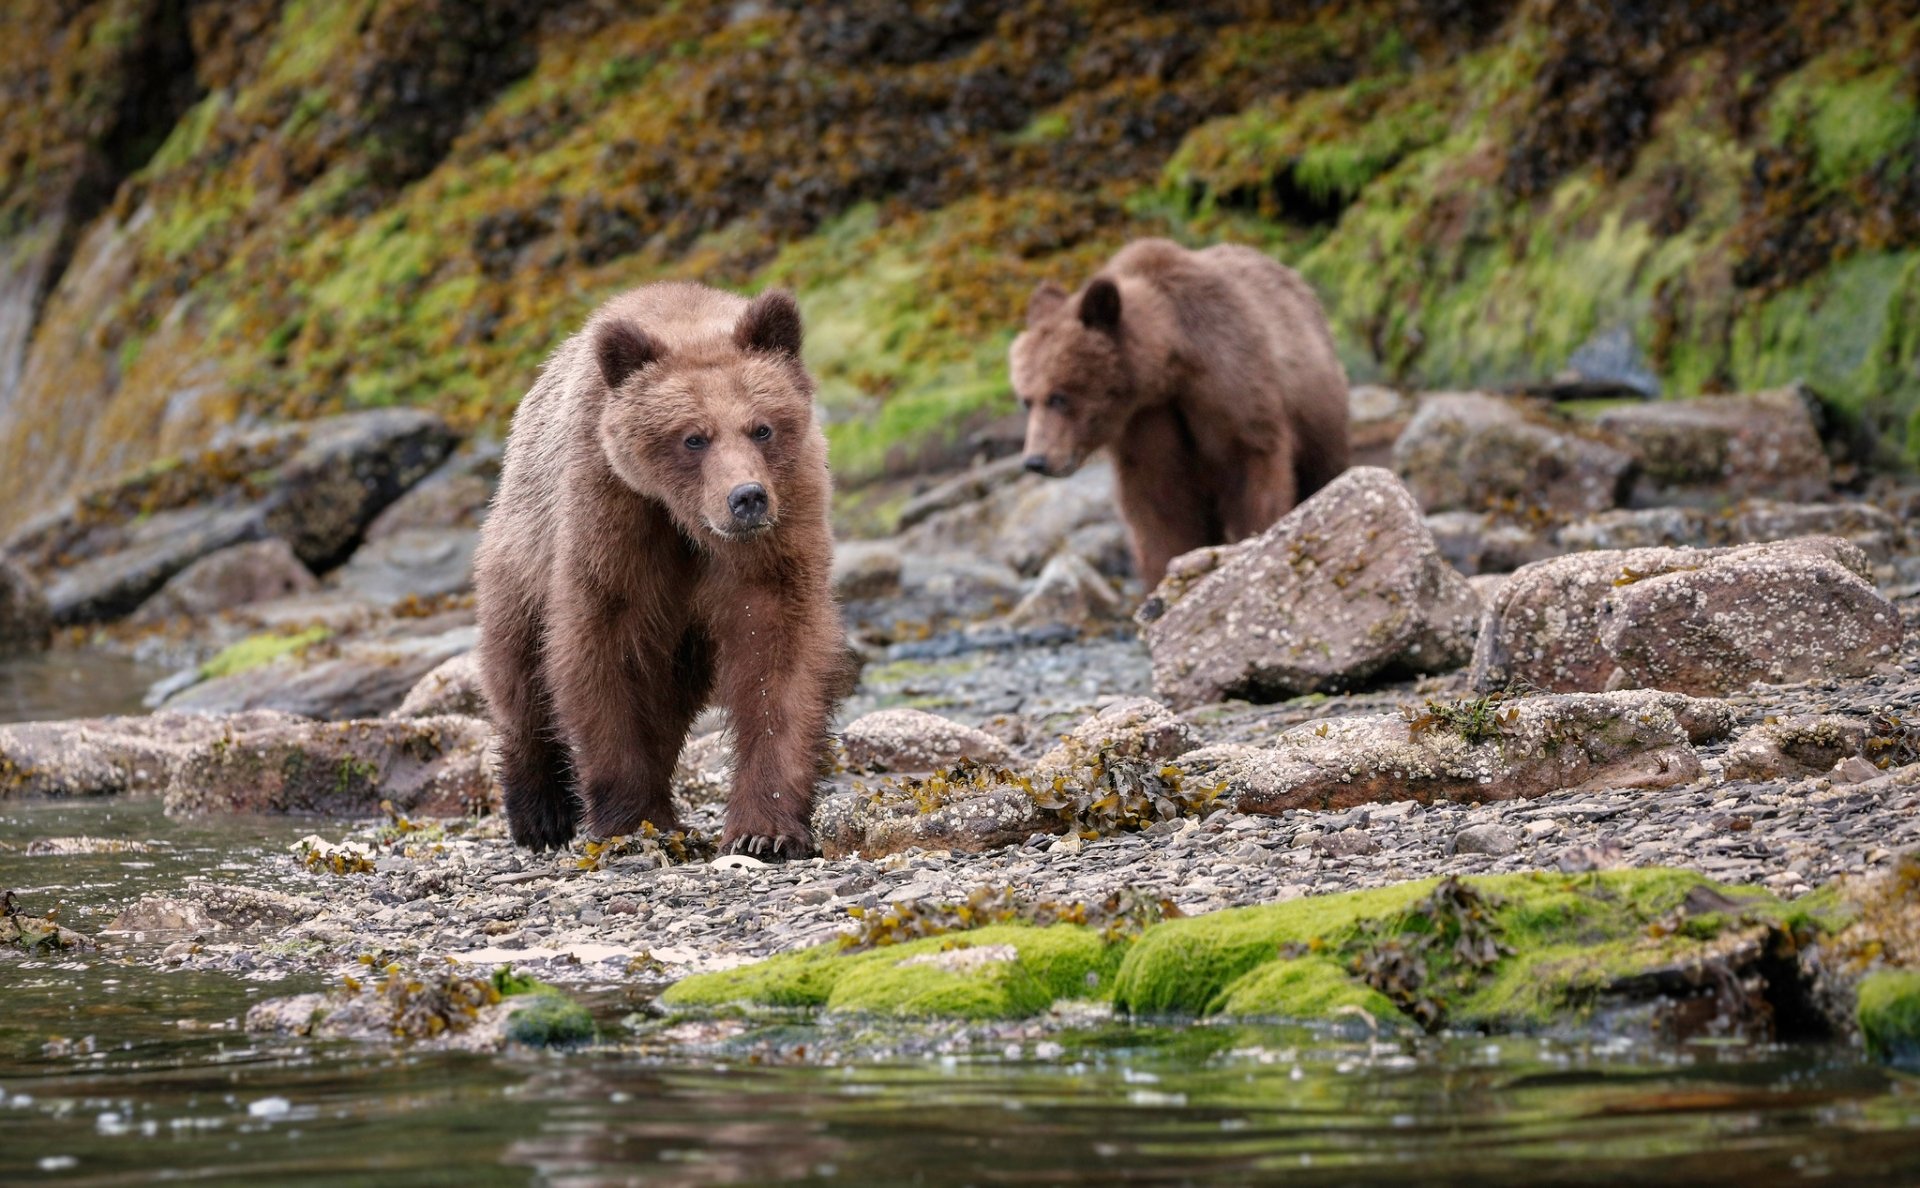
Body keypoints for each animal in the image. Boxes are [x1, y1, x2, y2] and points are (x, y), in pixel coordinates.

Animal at [473, 281, 850, 859]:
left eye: (761, 428)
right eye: (693, 436)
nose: (747, 498)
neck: (689, 524)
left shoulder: (781, 531)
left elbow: (781, 659)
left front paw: (764, 829)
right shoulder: (614, 516)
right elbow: (603, 651)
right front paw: (635, 821)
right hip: (520, 546)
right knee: (518, 674)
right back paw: (539, 815)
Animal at [1009, 238, 1351, 591]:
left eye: (1058, 397)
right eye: (1026, 399)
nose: (1036, 460)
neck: (1170, 366)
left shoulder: (1231, 386)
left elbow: (1253, 468)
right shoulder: (1145, 424)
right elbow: (1162, 506)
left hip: (1315, 399)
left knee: (1322, 464)